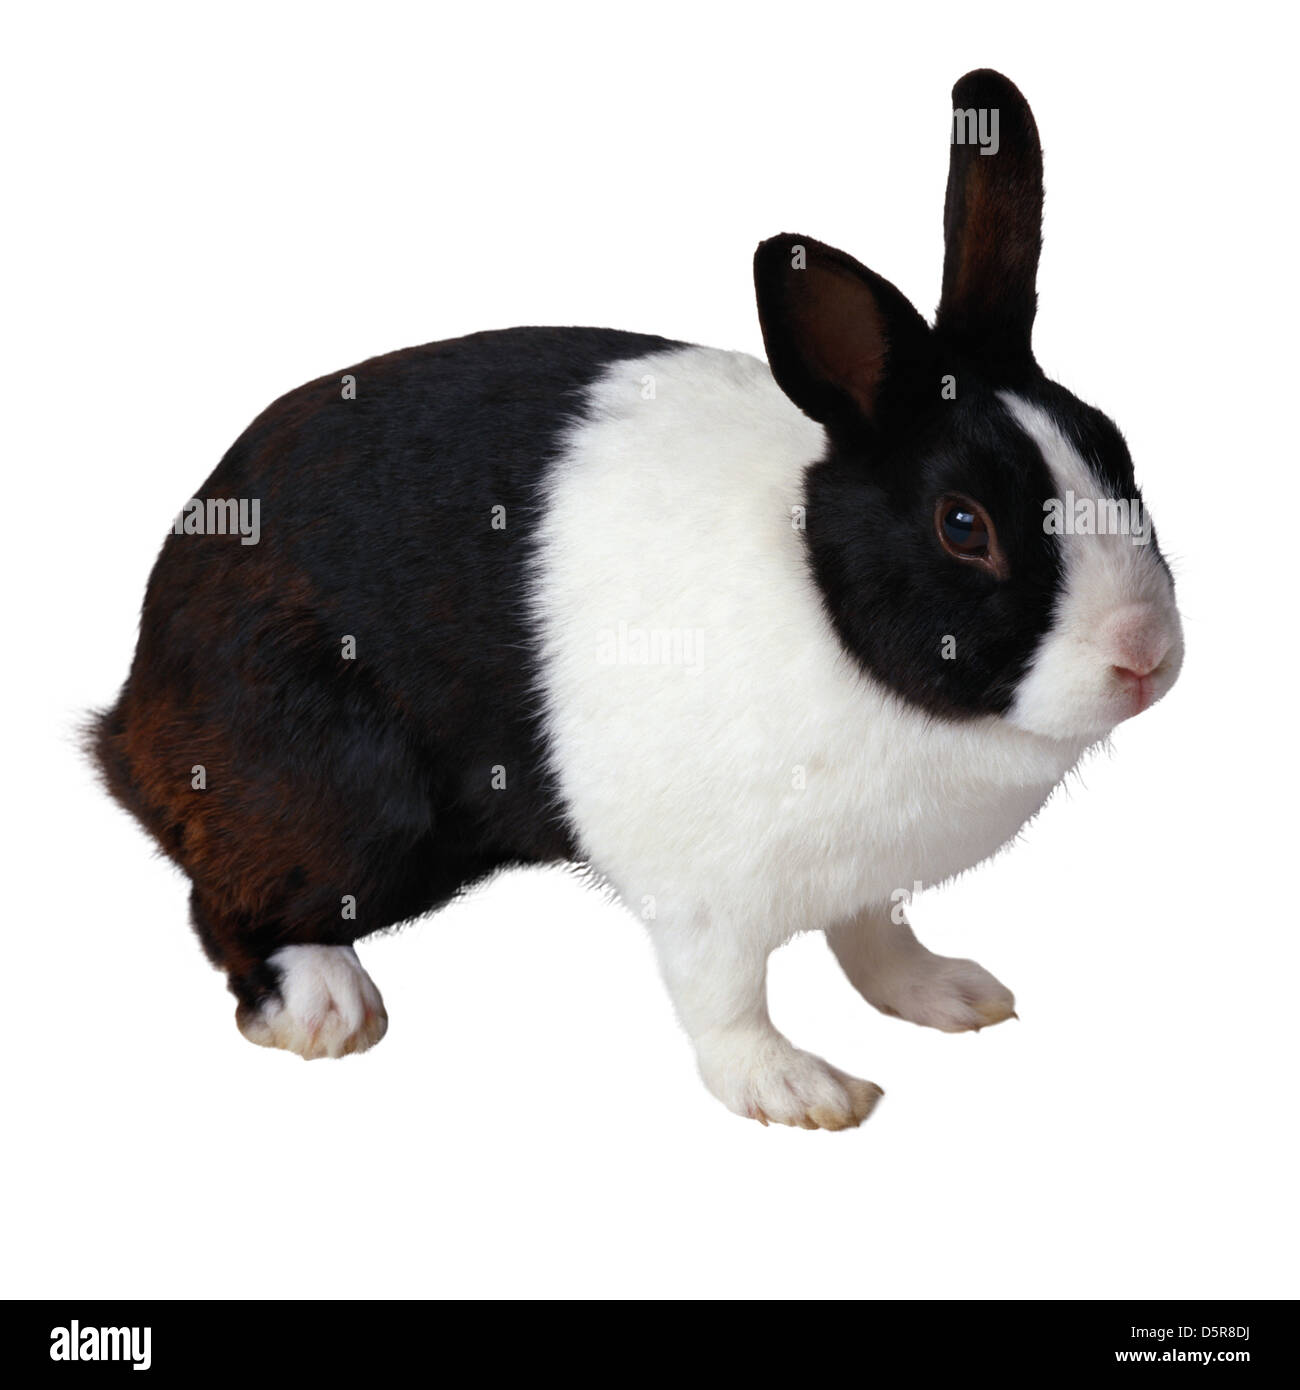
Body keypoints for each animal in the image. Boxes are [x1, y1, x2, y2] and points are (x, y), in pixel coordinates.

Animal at [91, 68, 1182, 1129]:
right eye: (963, 524)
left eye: (1115, 450)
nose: (1144, 657)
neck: (829, 607)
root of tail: (131, 708)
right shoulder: (706, 898)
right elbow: (724, 1000)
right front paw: (796, 1090)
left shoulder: (866, 878)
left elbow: (873, 938)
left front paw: (948, 995)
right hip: (339, 793)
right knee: (232, 899)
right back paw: (325, 1006)